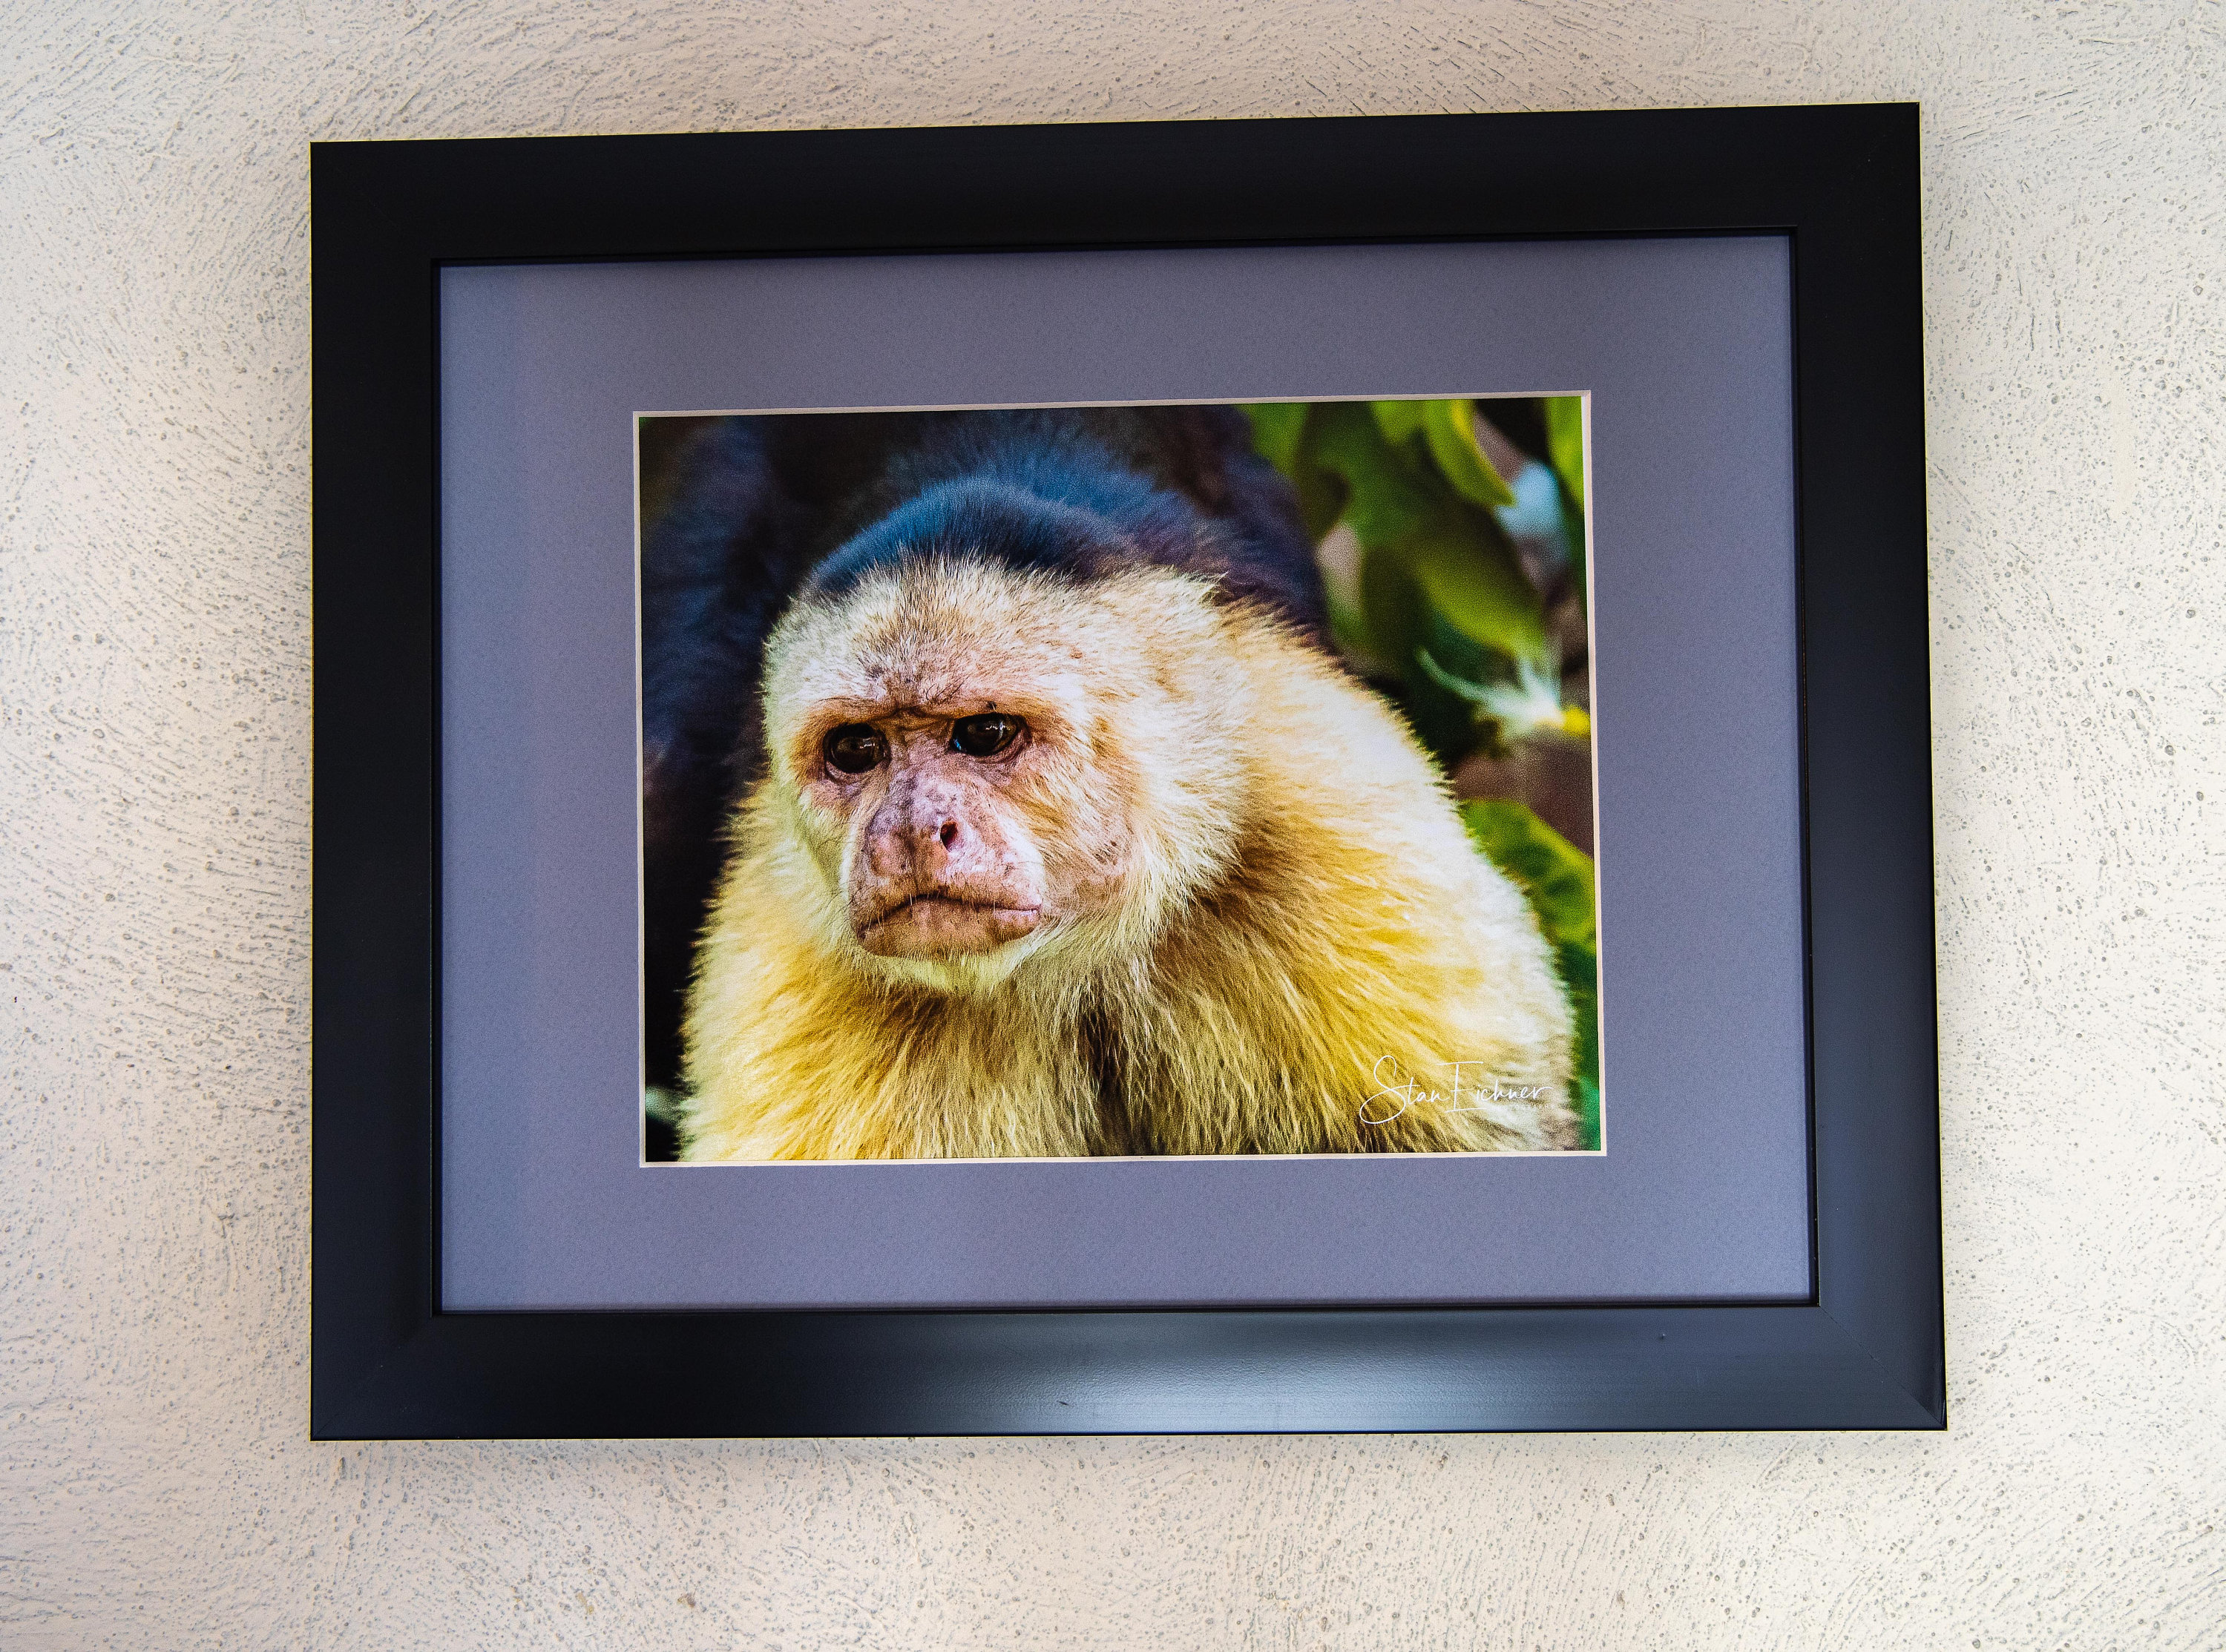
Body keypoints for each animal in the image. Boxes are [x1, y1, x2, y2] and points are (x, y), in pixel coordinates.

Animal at [655, 408, 1577, 1160]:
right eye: (856, 750)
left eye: (985, 734)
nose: (911, 832)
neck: (1077, 961)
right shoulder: (798, 957)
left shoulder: (1328, 821)